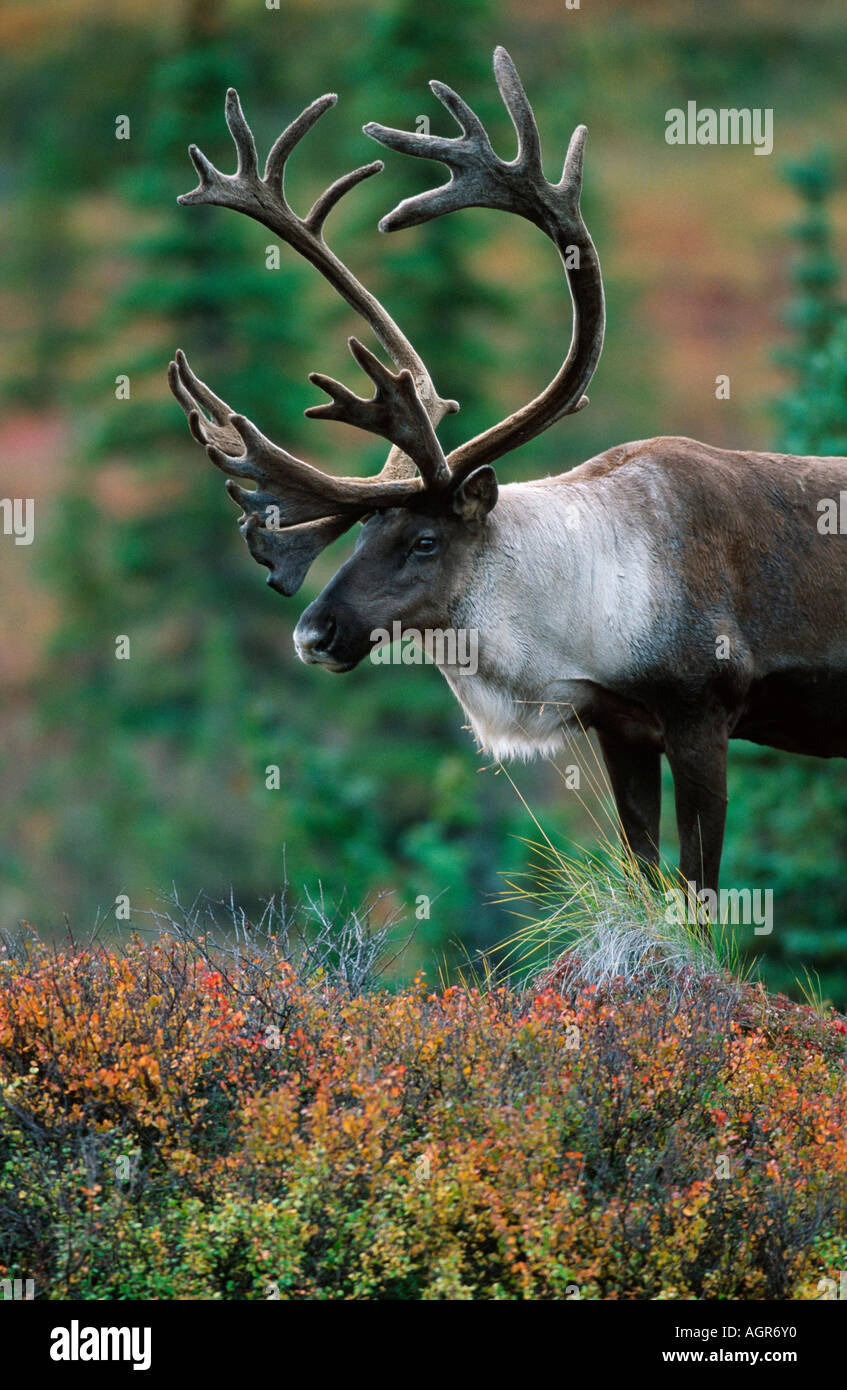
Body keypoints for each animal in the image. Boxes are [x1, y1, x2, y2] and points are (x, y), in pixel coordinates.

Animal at [168, 47, 847, 905]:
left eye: (425, 541)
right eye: (358, 535)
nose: (311, 634)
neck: (593, 597)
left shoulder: (702, 716)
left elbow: (697, 896)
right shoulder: (620, 727)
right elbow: (646, 872)